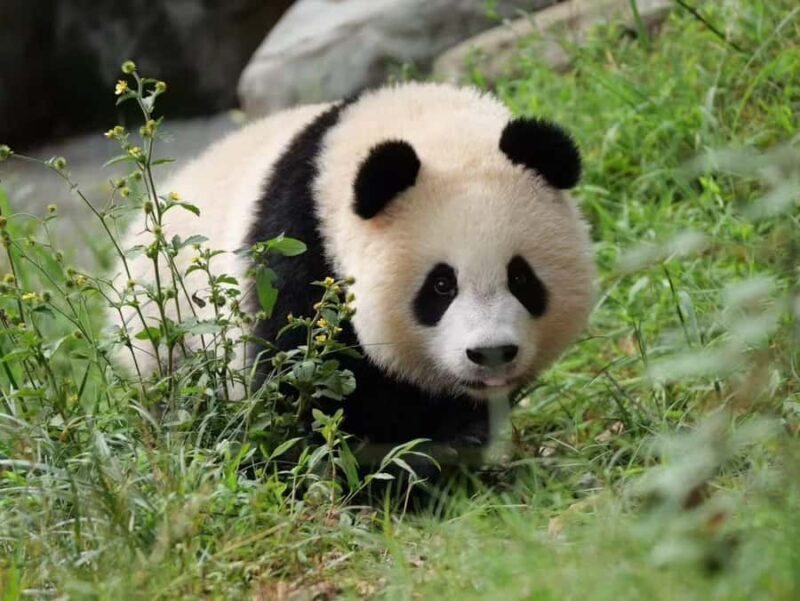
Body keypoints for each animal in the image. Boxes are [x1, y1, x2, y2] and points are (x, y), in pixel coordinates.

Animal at [113, 82, 596, 458]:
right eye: (441, 285)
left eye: (521, 278)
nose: (491, 353)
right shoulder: (296, 244)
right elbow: (298, 377)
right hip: (166, 333)